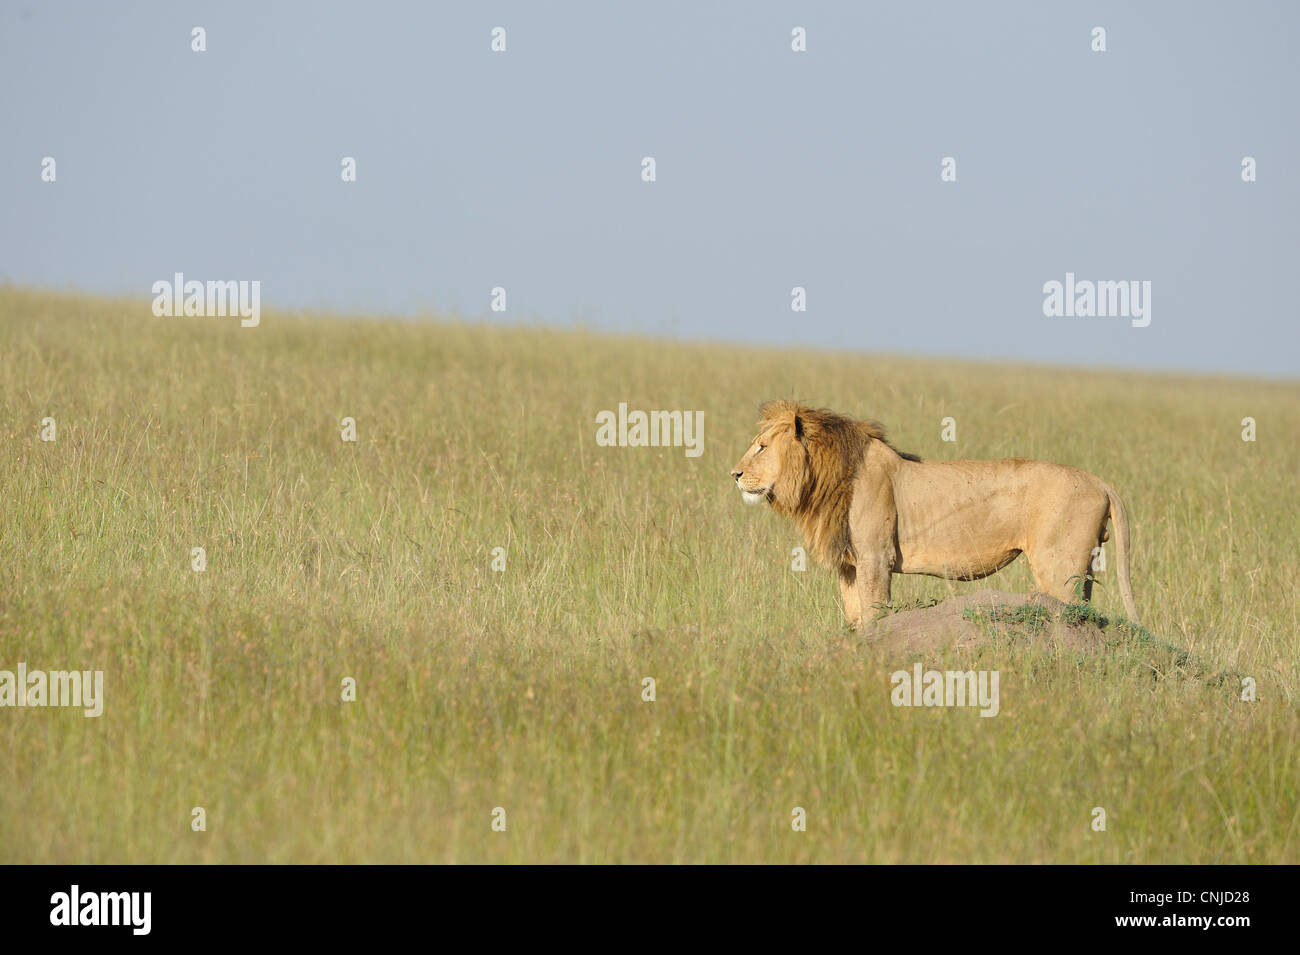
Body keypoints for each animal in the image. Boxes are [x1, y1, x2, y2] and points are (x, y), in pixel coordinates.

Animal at [730, 400, 1138, 628]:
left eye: (762, 447)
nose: (733, 474)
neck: (823, 480)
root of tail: (1100, 481)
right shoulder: (849, 564)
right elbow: (854, 618)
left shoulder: (876, 558)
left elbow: (875, 614)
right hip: (1083, 568)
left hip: (1058, 568)